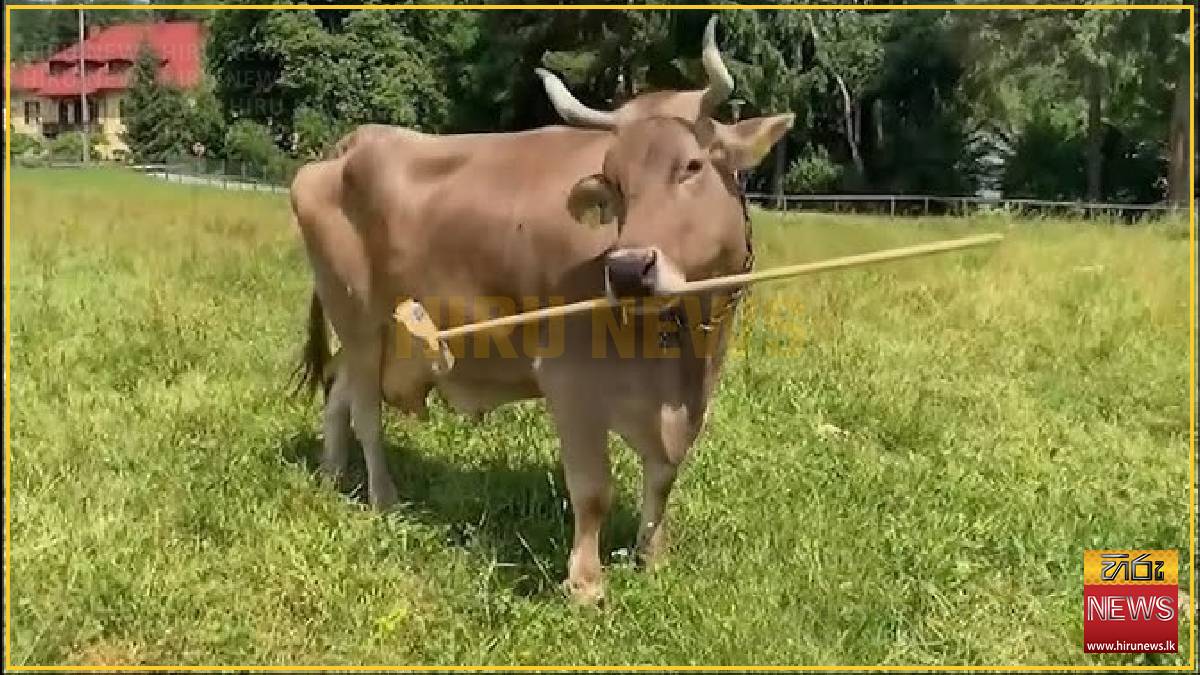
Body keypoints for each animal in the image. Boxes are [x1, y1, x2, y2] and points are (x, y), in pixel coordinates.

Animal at [289, 17, 793, 603]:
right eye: (614, 184)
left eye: (691, 165)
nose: (628, 271)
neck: (684, 346)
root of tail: (353, 144)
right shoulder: (569, 381)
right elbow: (593, 489)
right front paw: (585, 585)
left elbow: (663, 476)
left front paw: (652, 559)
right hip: (359, 317)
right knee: (366, 413)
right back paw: (384, 498)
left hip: (373, 333)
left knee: (338, 394)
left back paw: (330, 477)